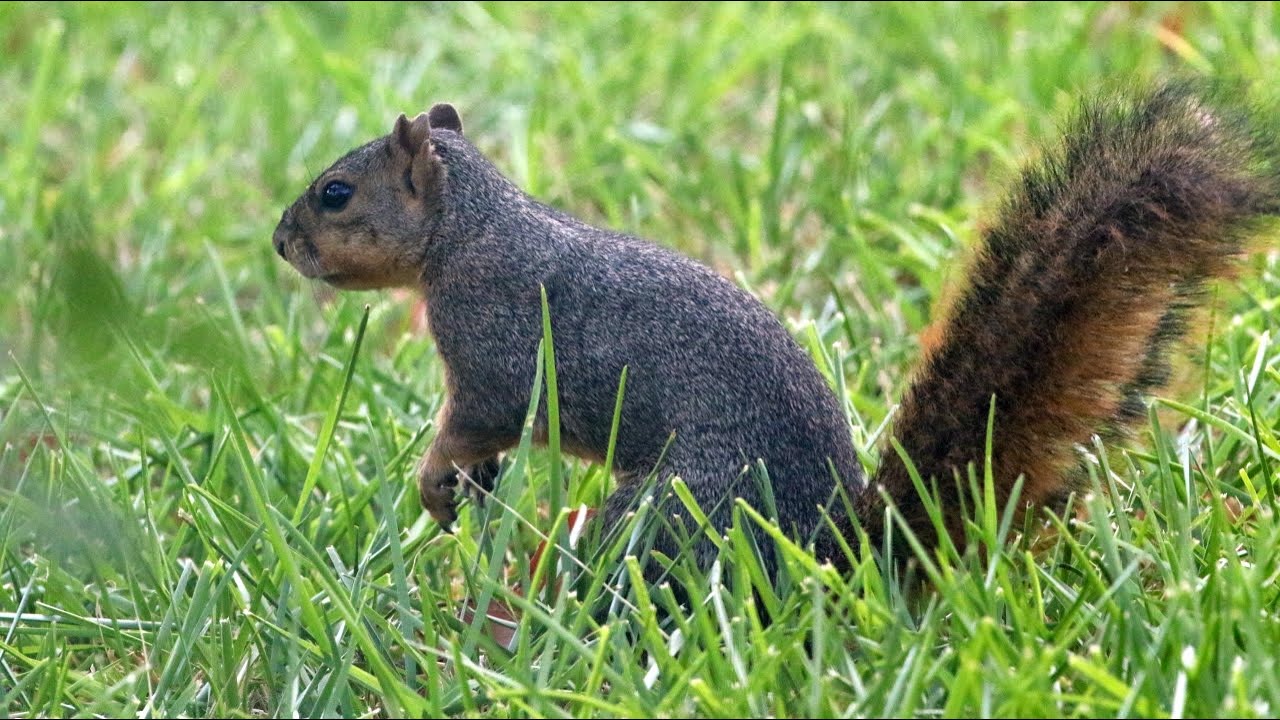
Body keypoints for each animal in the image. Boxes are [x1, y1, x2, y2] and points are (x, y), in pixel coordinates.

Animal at [272, 82, 1280, 580]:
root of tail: (840, 552)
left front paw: (435, 477)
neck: (473, 231)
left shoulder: (494, 337)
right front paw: (464, 492)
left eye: (337, 193)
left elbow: (480, 412)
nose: (281, 243)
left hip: (677, 512)